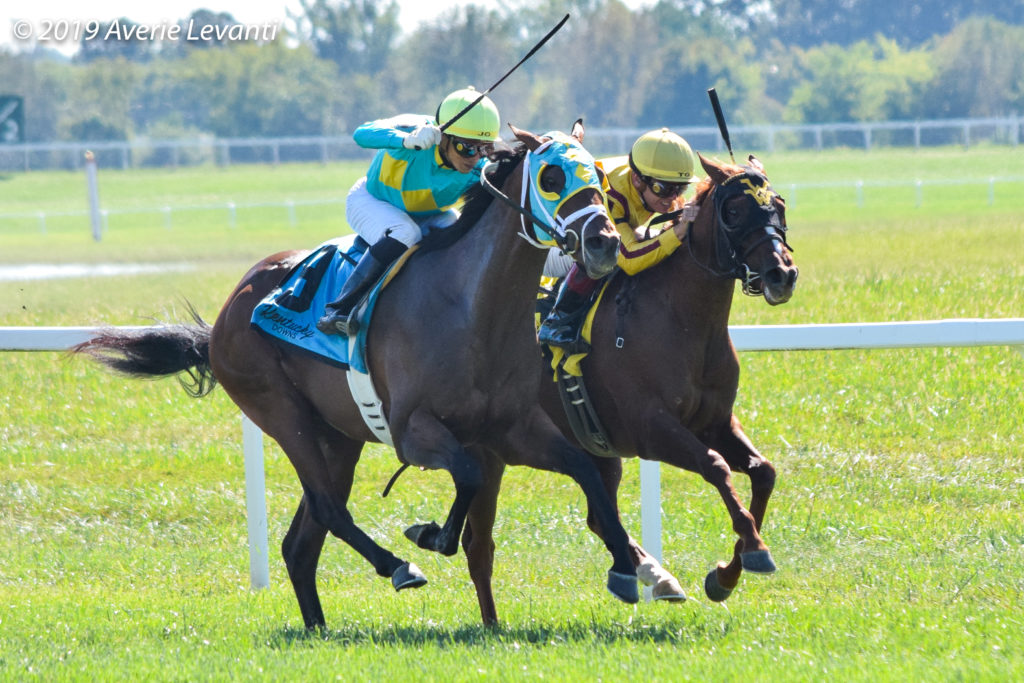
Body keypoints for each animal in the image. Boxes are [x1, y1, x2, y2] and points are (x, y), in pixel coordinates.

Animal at [73, 123, 642, 628]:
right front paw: (430, 537)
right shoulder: (415, 431)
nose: (603, 243)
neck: (470, 307)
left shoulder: (512, 427)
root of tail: (229, 310)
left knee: (300, 543)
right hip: (280, 412)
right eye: (551, 176)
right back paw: (397, 566)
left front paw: (627, 565)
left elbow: (585, 470)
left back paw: (318, 627)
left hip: (338, 437)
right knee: (329, 510)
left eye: (596, 173)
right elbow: (468, 475)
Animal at [539, 153, 799, 602]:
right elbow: (716, 466)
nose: (782, 274)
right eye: (734, 212)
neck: (684, 320)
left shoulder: (715, 422)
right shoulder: (650, 428)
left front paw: (726, 574)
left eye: (779, 207)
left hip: (593, 446)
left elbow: (764, 472)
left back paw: (650, 573)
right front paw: (754, 549)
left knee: (600, 516)